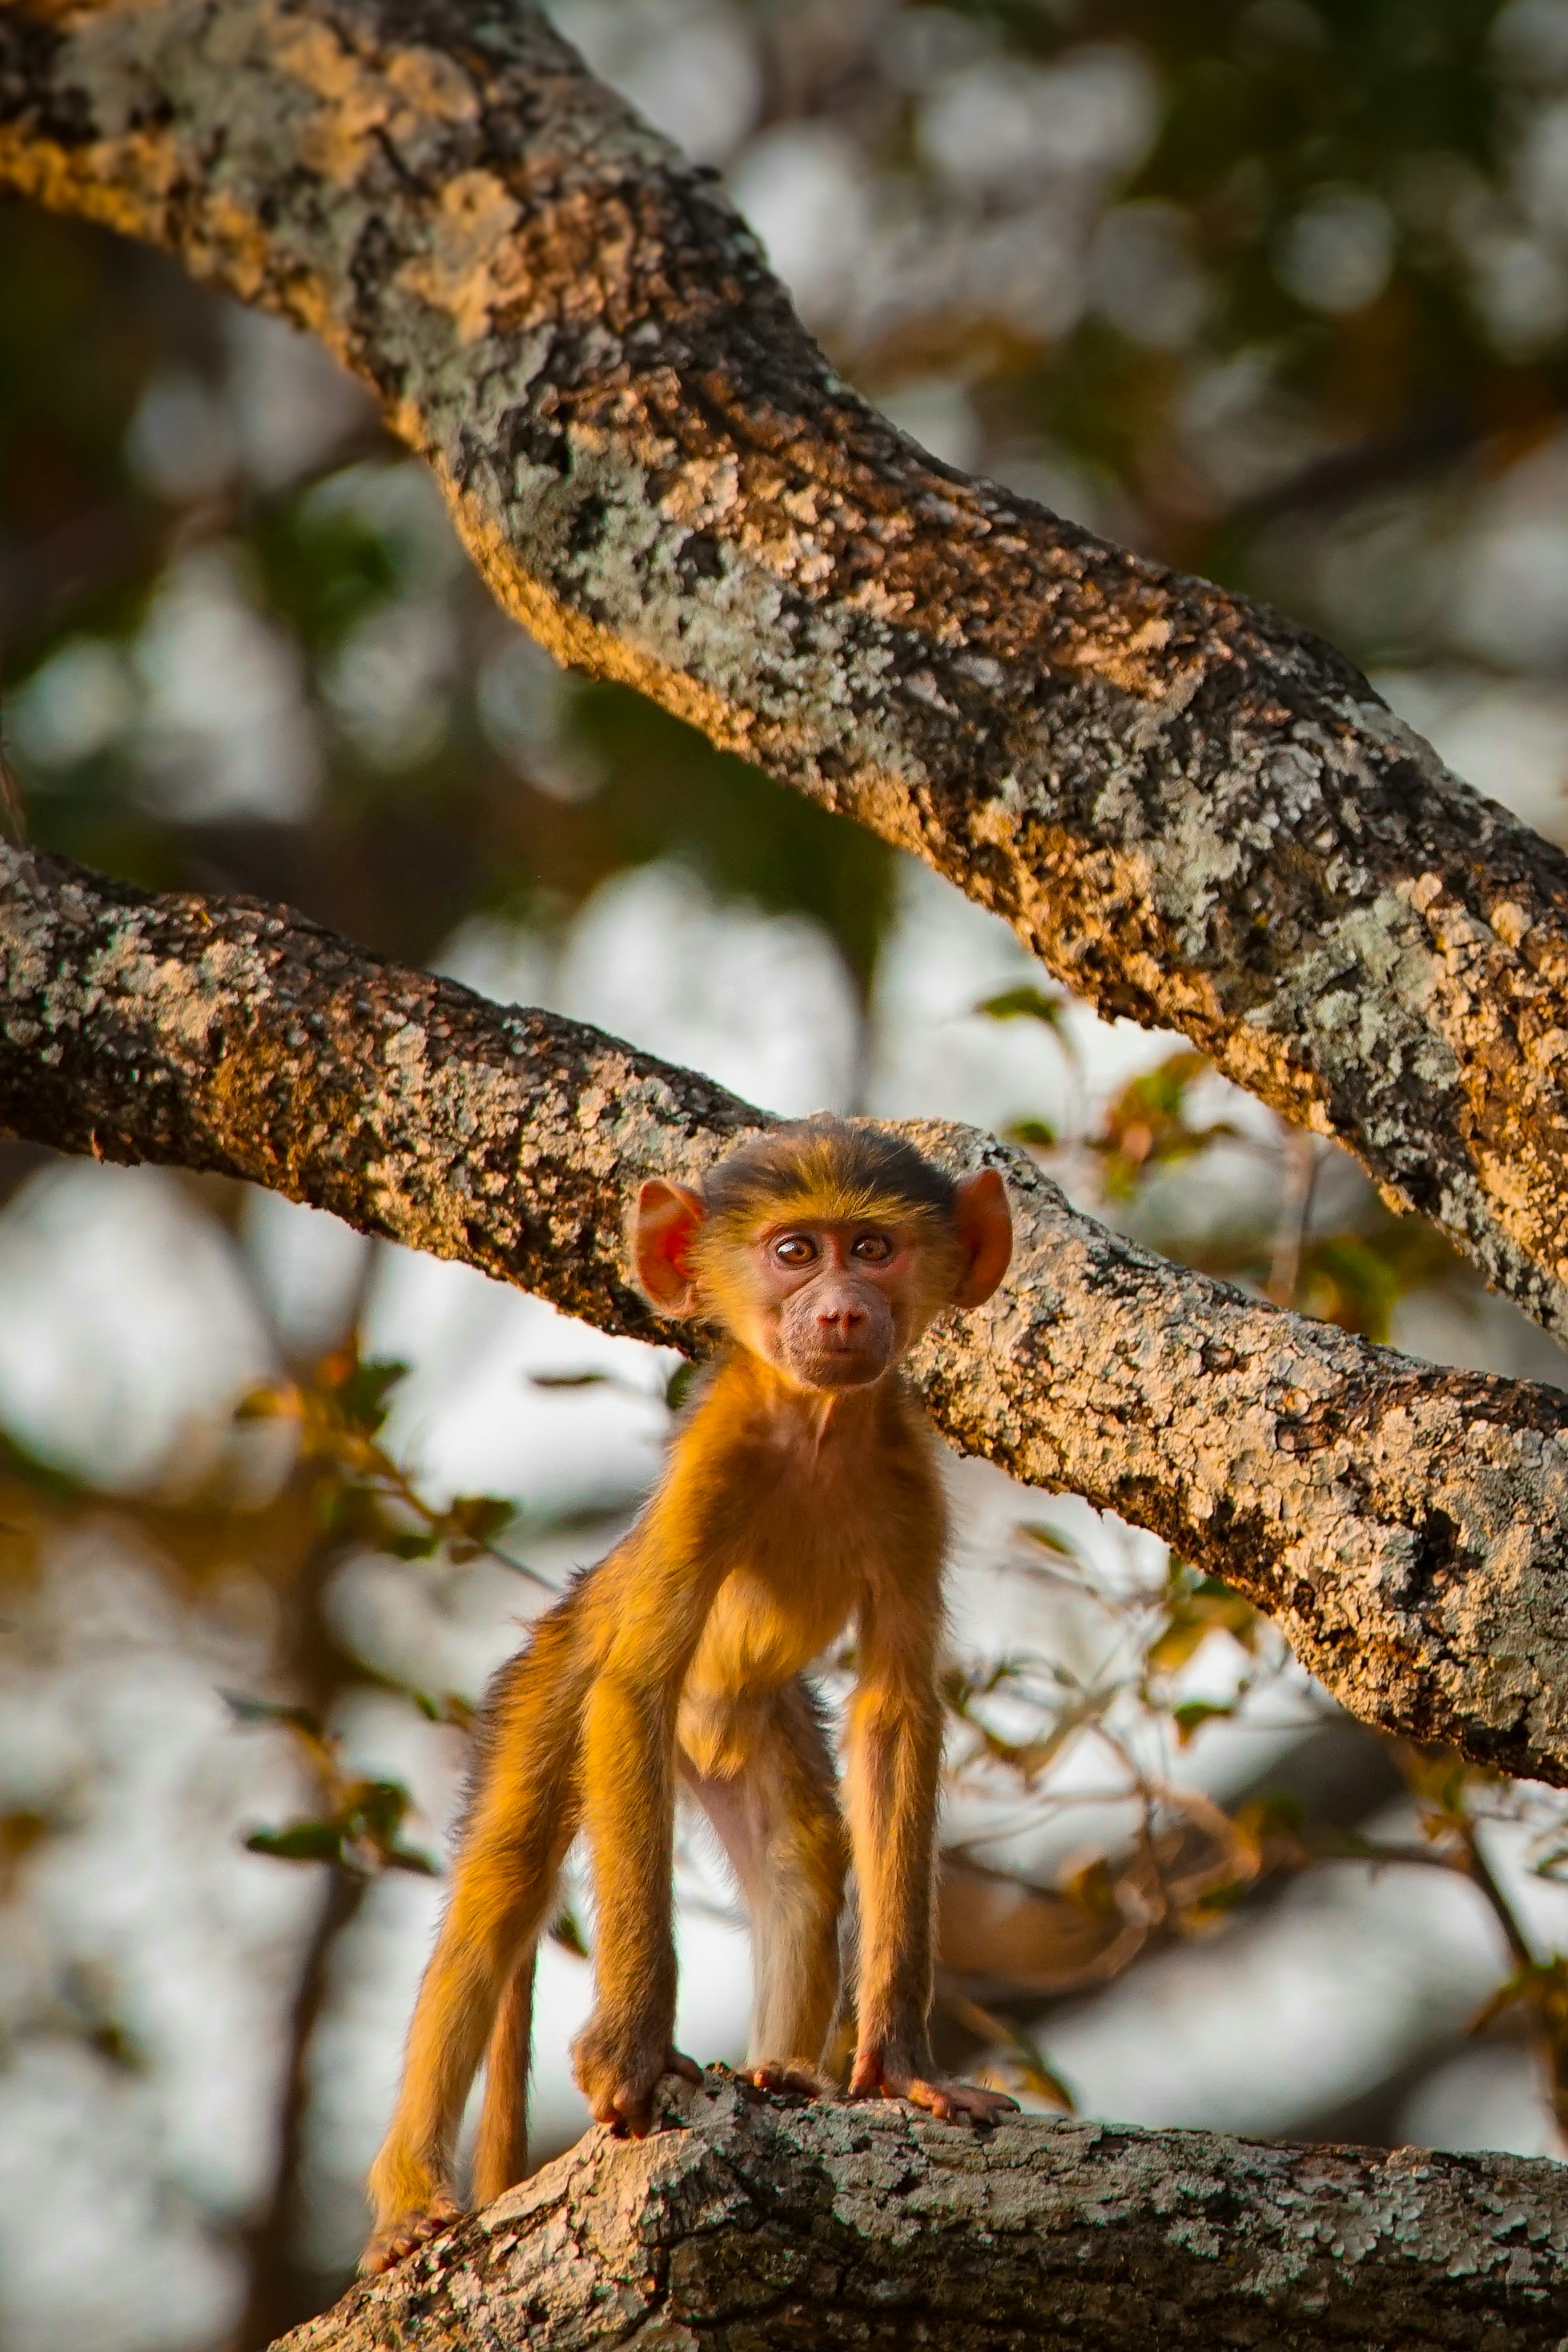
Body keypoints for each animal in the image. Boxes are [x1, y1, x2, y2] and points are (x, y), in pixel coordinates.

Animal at [360, 1119, 1018, 2275]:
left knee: (803, 1854)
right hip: (553, 1676)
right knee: (502, 1886)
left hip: (750, 1722)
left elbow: (894, 1716)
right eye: (795, 1253)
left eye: (872, 1249)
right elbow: (638, 1682)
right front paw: (631, 2050)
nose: (840, 1311)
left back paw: (780, 2071)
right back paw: (405, 2202)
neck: (817, 1425)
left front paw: (897, 2065)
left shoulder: (908, 1480)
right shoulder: (714, 1470)